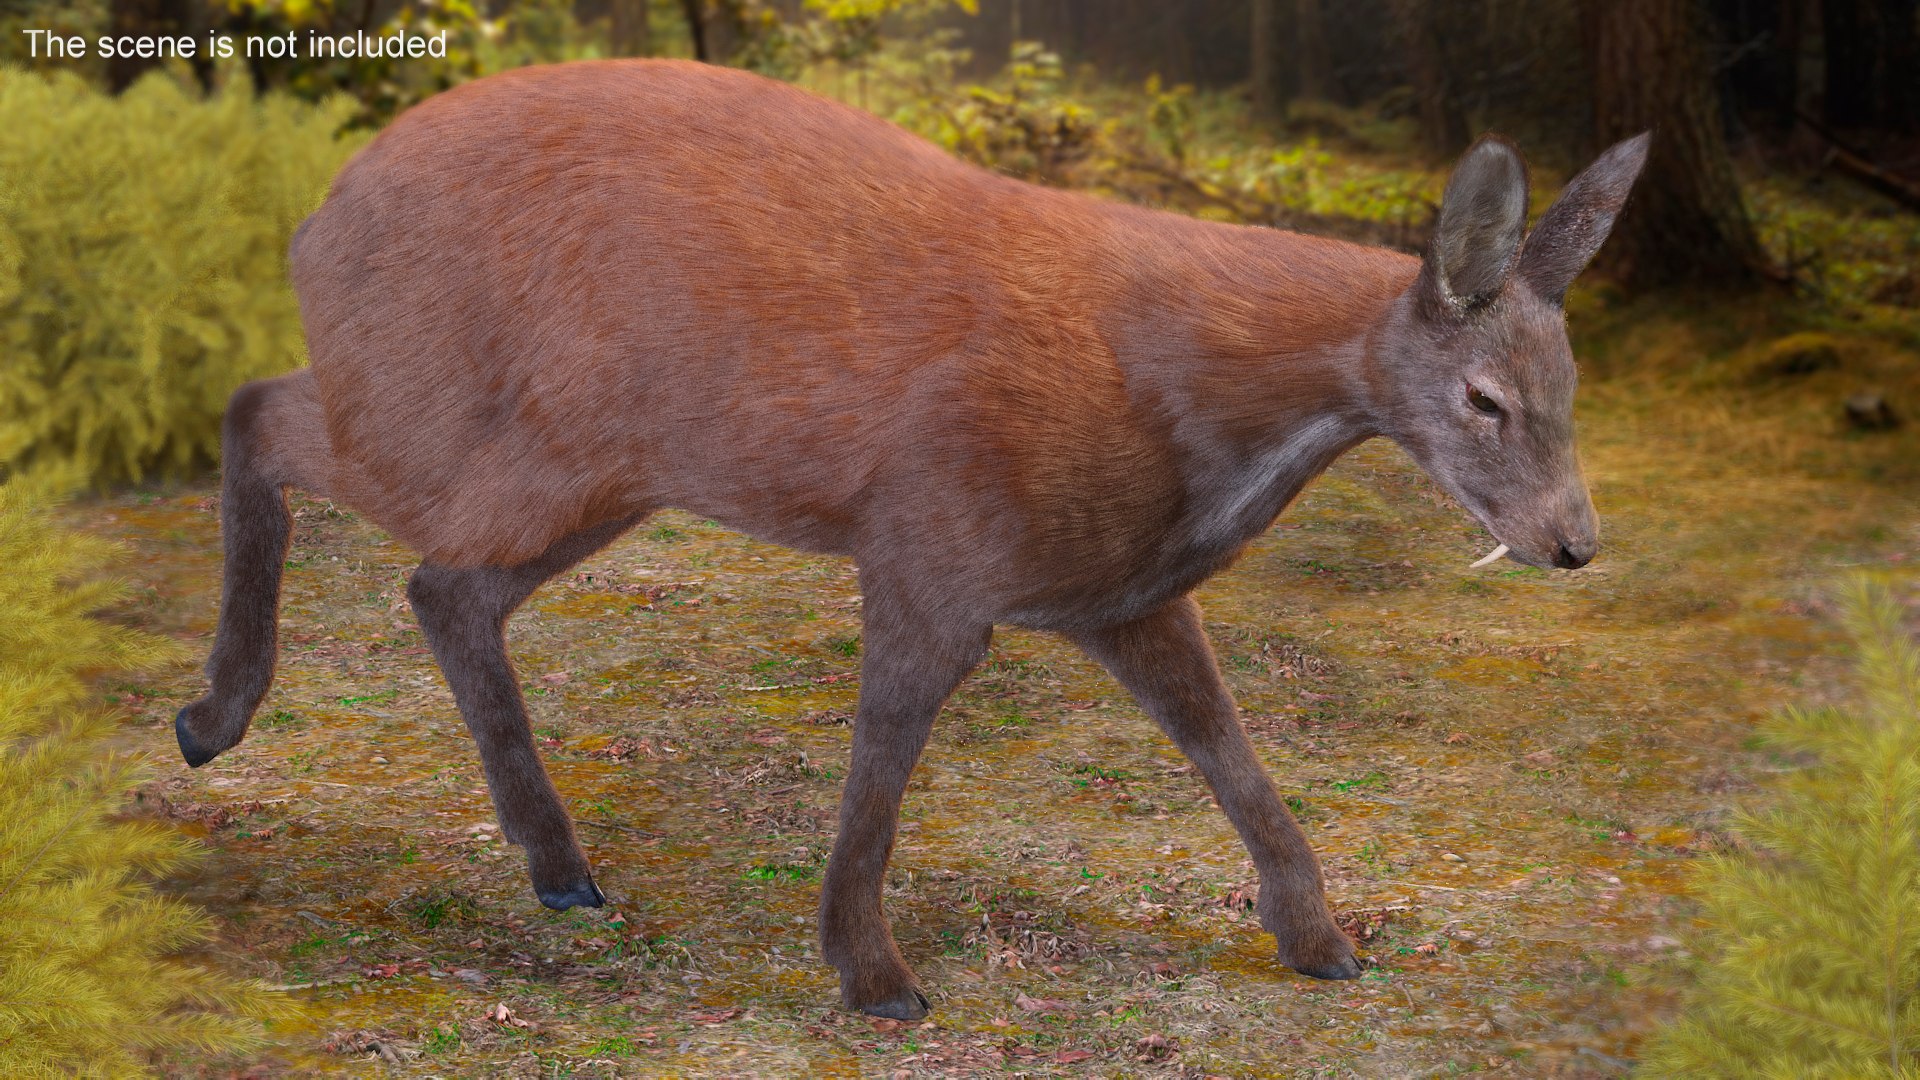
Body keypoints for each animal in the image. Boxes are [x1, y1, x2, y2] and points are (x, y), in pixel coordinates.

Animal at [173, 59, 1647, 1021]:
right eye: (1484, 398)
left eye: (1574, 381)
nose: (1574, 545)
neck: (1194, 419)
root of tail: (314, 219)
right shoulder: (932, 540)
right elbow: (886, 752)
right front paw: (871, 974)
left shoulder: (1122, 588)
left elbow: (1224, 746)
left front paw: (1321, 940)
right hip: (465, 419)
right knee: (269, 419)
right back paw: (215, 717)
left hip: (596, 470)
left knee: (441, 584)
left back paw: (559, 869)